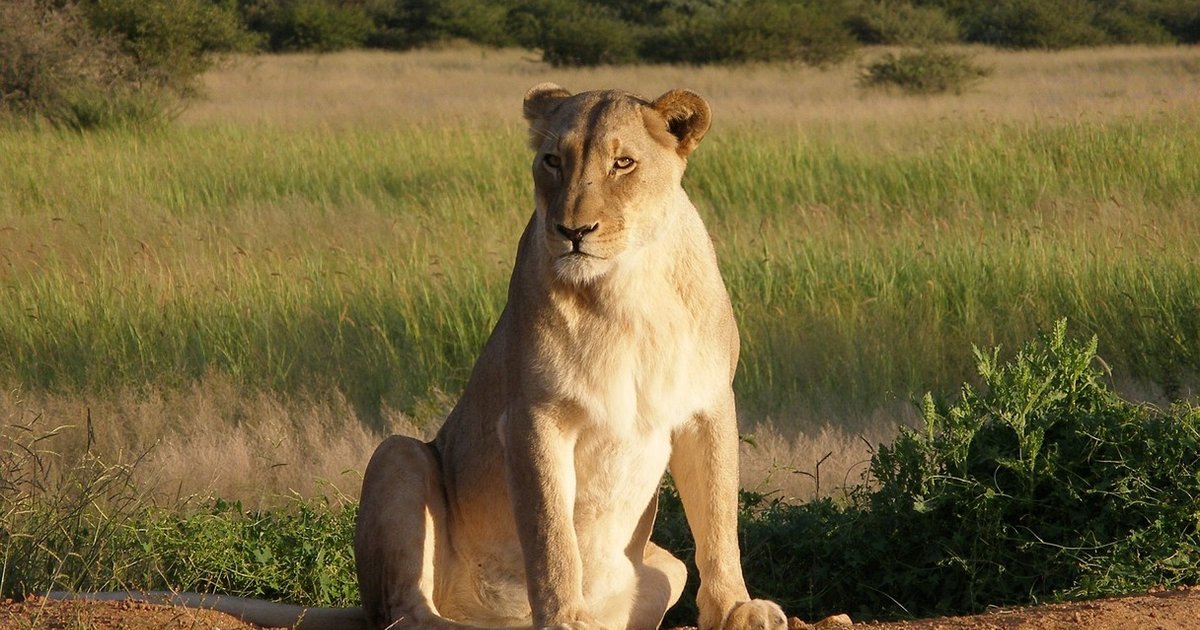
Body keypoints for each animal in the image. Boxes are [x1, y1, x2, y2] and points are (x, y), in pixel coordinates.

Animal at [50, 84, 789, 630]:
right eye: (553, 160)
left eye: (623, 163)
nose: (573, 230)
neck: (629, 284)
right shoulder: (532, 417)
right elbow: (552, 536)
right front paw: (566, 616)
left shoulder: (707, 404)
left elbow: (719, 520)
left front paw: (738, 609)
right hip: (399, 454)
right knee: (404, 612)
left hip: (663, 565)